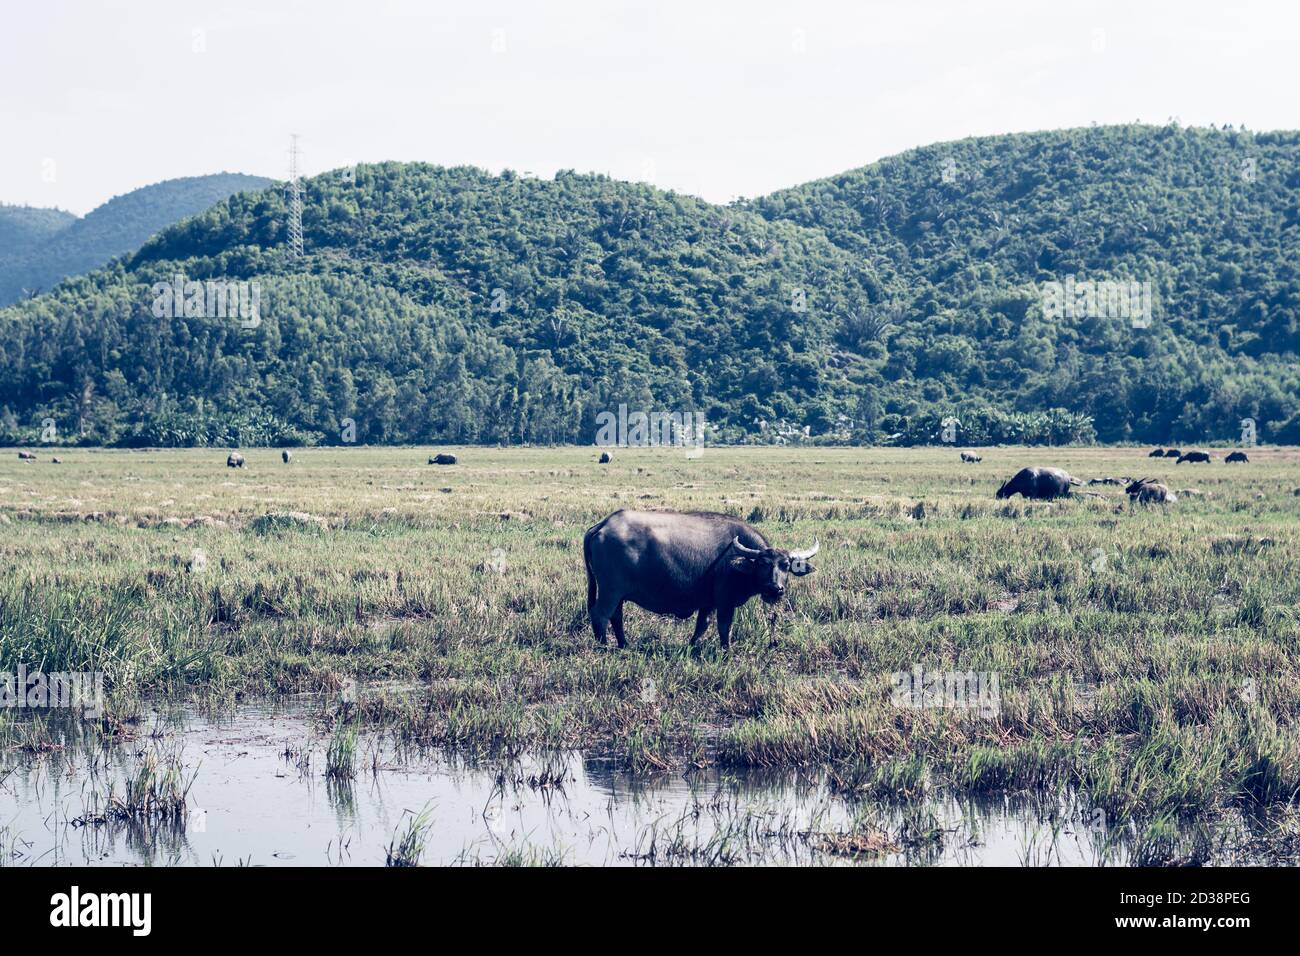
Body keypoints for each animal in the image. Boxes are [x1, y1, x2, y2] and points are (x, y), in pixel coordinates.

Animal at [583, 509, 817, 650]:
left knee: (616, 617)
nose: (774, 589)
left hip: (618, 594)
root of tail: (602, 525)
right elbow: (724, 626)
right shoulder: (724, 601)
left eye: (785, 565)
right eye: (762, 564)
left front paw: (692, 645)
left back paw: (624, 645)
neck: (737, 561)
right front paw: (726, 650)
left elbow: (702, 625)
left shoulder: (708, 602)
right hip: (610, 591)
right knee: (600, 614)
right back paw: (604, 647)